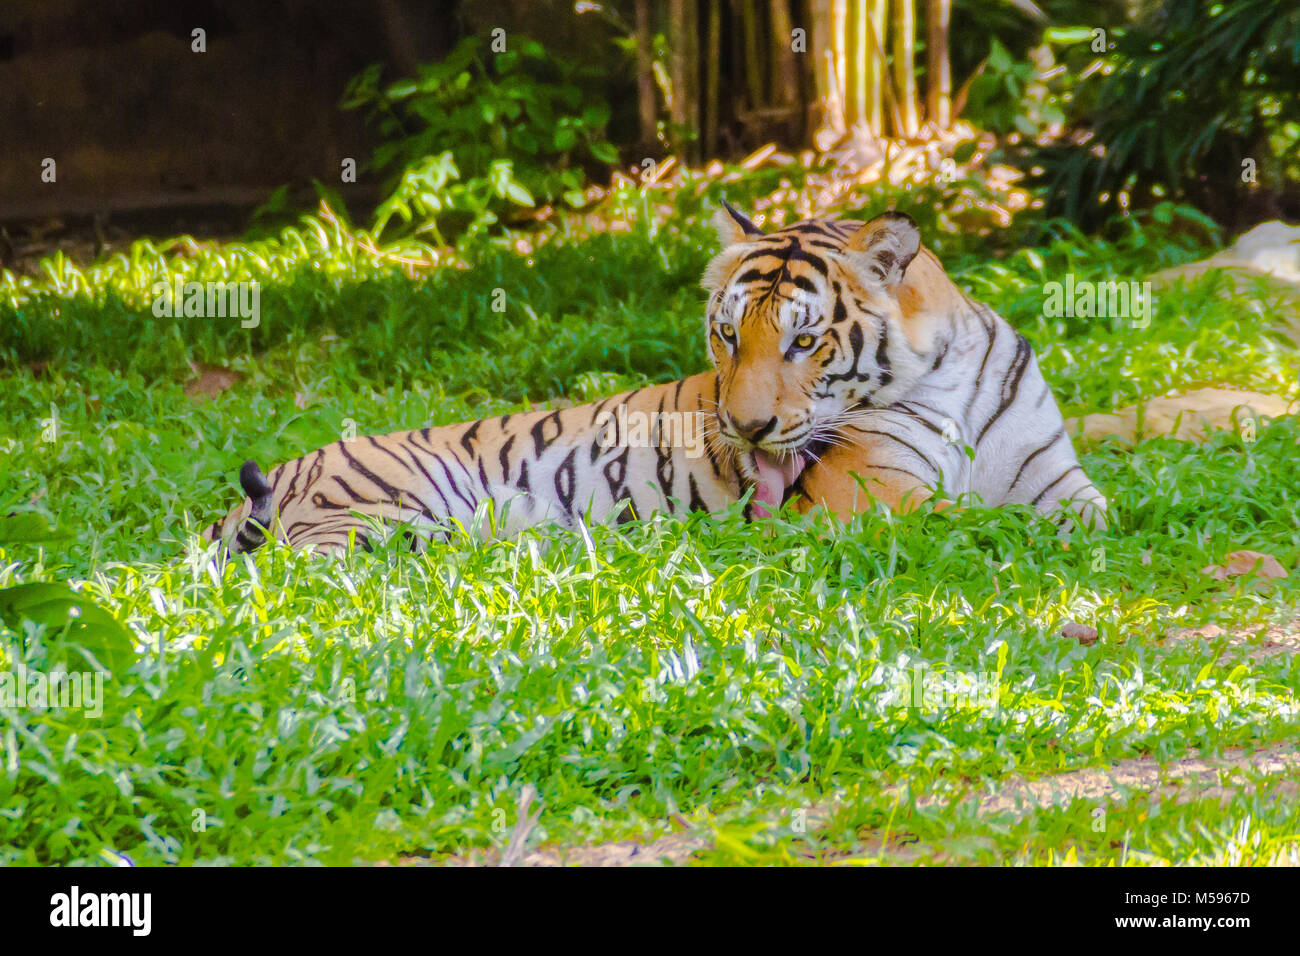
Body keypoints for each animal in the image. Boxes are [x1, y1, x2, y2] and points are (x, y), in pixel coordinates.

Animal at [201, 205, 1104, 555]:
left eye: (804, 342)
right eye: (728, 337)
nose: (745, 429)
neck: (946, 379)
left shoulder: (1059, 478)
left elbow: (1096, 513)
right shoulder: (873, 498)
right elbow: (978, 516)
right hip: (376, 515)